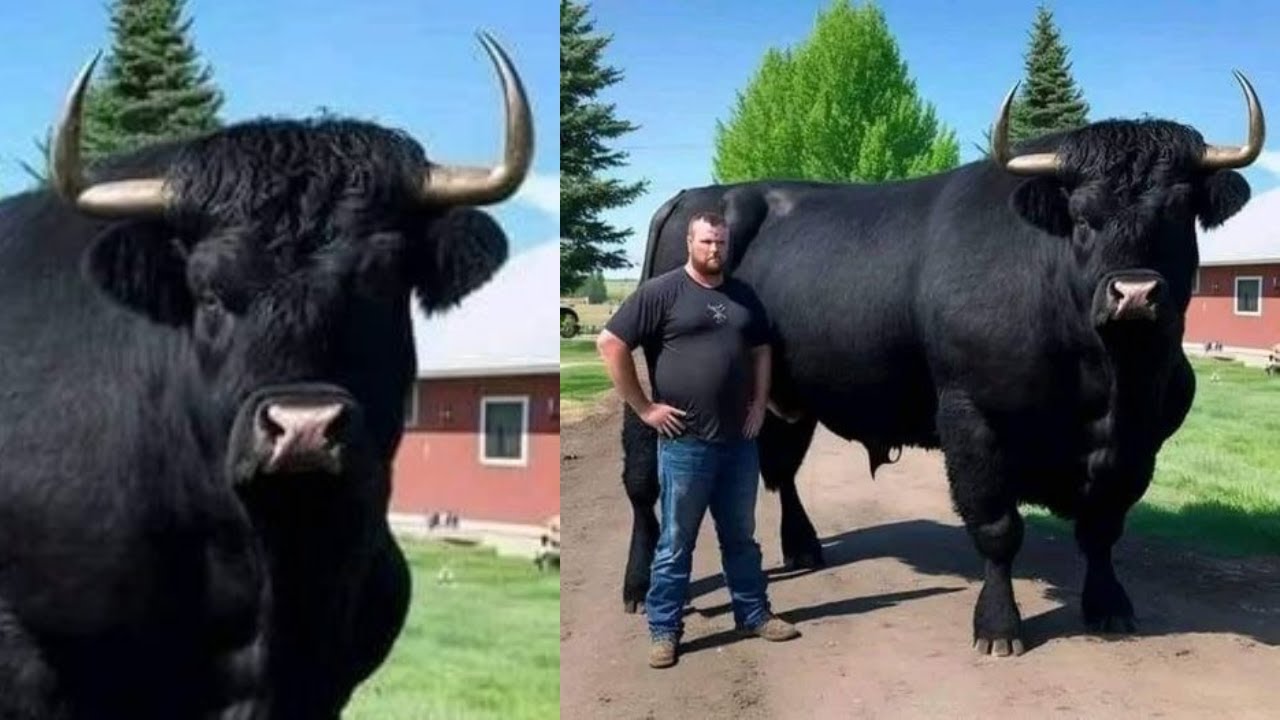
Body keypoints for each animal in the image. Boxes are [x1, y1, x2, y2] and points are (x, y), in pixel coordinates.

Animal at [617, 75, 1264, 656]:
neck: (1108, 385)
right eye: (1082, 216)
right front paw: (999, 625)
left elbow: (1102, 527)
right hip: (652, 383)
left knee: (778, 469)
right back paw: (639, 584)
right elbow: (998, 528)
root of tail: (696, 195)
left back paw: (802, 547)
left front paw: (1108, 605)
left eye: (1179, 210)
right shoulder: (971, 416)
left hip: (783, 393)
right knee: (646, 484)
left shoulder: (1140, 440)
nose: (1134, 293)